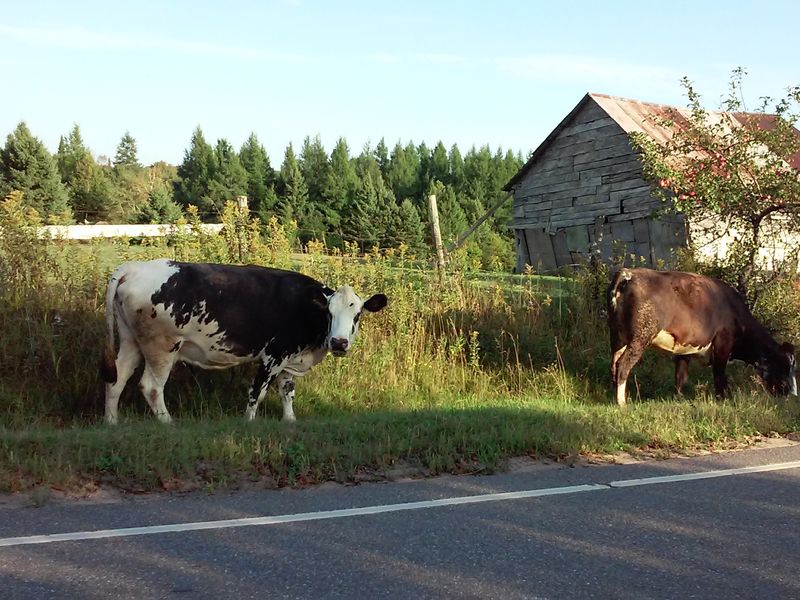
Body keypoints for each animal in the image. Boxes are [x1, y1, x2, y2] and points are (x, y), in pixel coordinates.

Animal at [100, 259, 388, 424]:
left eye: (358, 314)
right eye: (329, 312)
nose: (339, 342)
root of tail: (133, 267)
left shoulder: (290, 359)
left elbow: (287, 392)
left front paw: (290, 422)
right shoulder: (273, 355)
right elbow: (256, 393)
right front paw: (249, 423)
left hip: (131, 340)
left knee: (116, 379)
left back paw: (111, 423)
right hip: (162, 346)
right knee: (151, 387)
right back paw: (168, 423)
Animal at [607, 267, 796, 406]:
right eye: (783, 366)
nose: (792, 395)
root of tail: (628, 273)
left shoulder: (684, 350)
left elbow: (680, 377)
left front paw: (679, 398)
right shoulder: (722, 345)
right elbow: (720, 376)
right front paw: (723, 399)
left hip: (617, 337)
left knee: (614, 364)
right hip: (639, 338)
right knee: (623, 365)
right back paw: (622, 404)